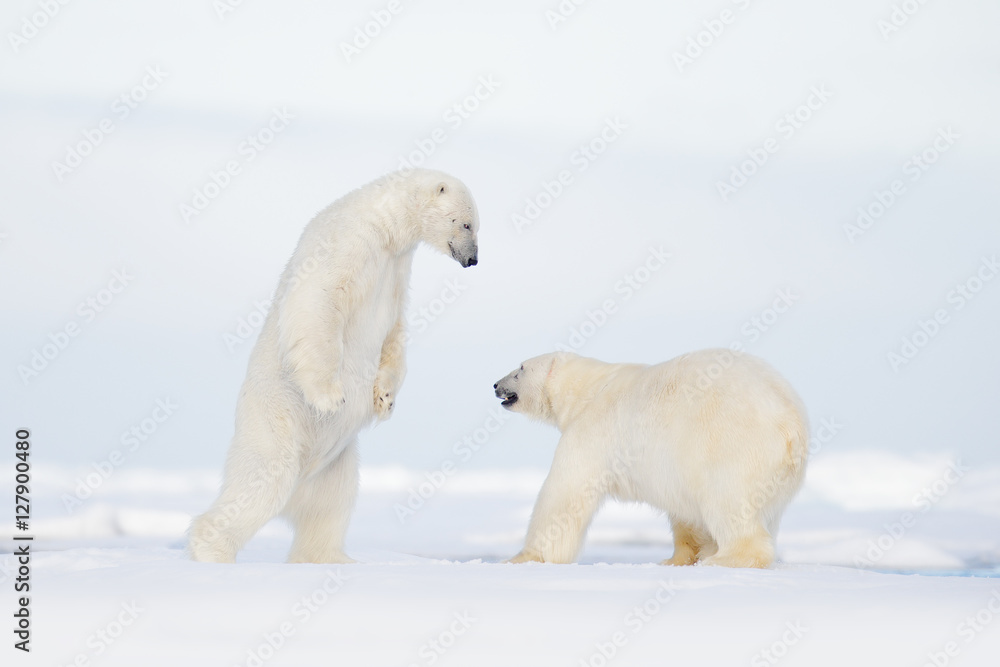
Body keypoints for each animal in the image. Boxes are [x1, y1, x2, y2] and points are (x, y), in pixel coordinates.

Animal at [189, 168, 480, 564]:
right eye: (466, 223)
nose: (473, 260)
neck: (386, 227)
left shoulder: (397, 268)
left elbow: (395, 331)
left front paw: (384, 399)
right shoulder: (348, 240)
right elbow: (319, 298)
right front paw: (331, 397)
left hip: (336, 460)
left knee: (330, 503)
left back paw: (329, 556)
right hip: (277, 418)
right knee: (263, 480)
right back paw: (213, 550)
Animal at [493, 349, 809, 568]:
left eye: (520, 368)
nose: (496, 385)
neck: (587, 390)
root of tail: (790, 423)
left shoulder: (593, 431)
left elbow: (564, 491)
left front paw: (520, 558)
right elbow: (685, 515)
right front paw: (677, 558)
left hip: (731, 447)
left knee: (727, 502)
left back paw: (725, 558)